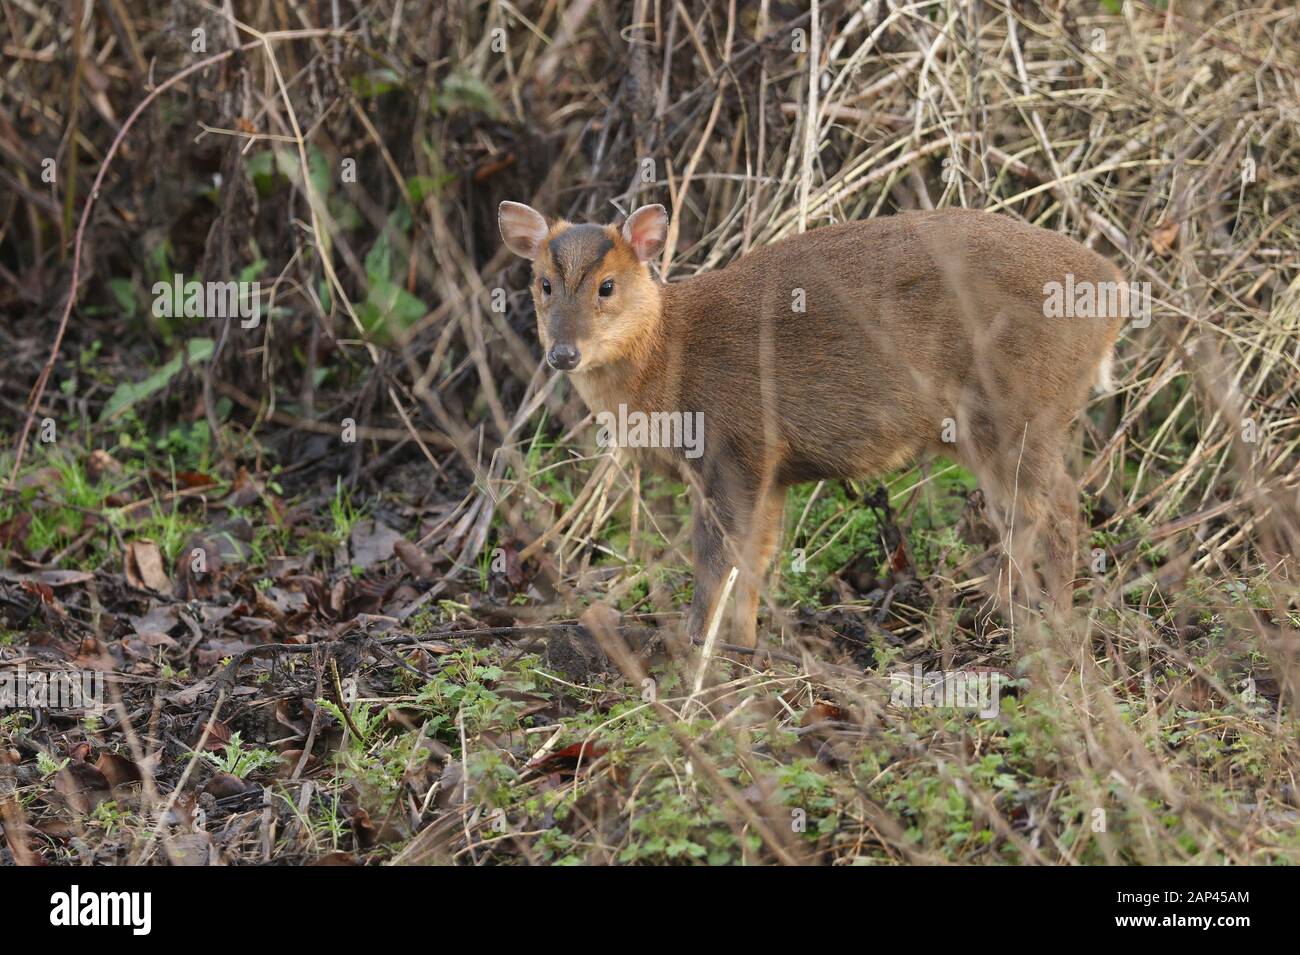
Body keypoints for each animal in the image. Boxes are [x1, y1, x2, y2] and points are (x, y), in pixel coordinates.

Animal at [499, 201, 1126, 649]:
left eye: (607, 285)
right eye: (544, 283)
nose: (562, 353)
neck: (666, 361)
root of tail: (1116, 291)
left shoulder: (735, 446)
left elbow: (717, 559)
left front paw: (700, 649)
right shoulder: (771, 471)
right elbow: (757, 558)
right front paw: (744, 646)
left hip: (1018, 410)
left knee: (1058, 509)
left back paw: (1042, 622)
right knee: (1038, 511)